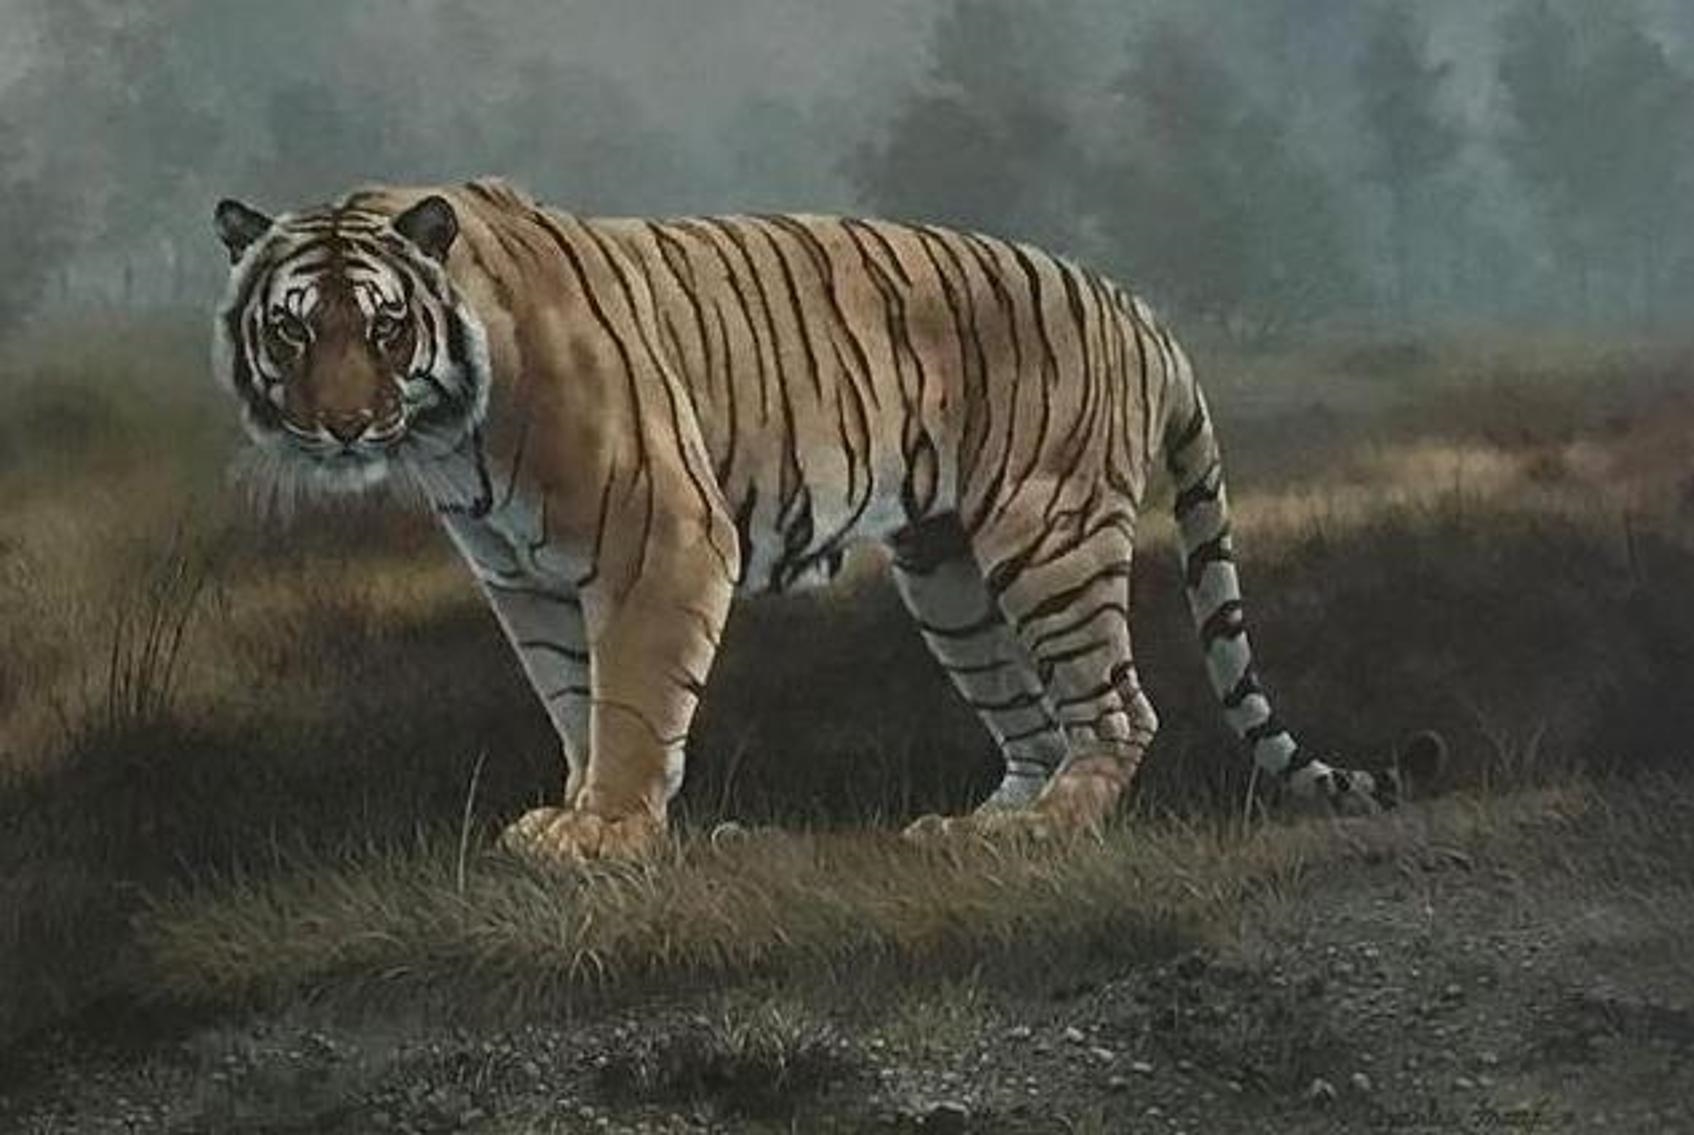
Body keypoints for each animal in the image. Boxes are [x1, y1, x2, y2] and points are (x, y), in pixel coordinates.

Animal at [211, 177, 1435, 863]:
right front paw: (572, 813)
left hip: (1047, 541)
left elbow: (631, 701)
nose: (341, 427)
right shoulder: (525, 581)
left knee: (1118, 710)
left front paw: (607, 834)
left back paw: (1049, 831)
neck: (448, 429)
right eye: (292, 327)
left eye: (383, 326)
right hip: (949, 577)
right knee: (1036, 722)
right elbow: (573, 702)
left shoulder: (658, 540)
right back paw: (981, 827)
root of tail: (1142, 310)